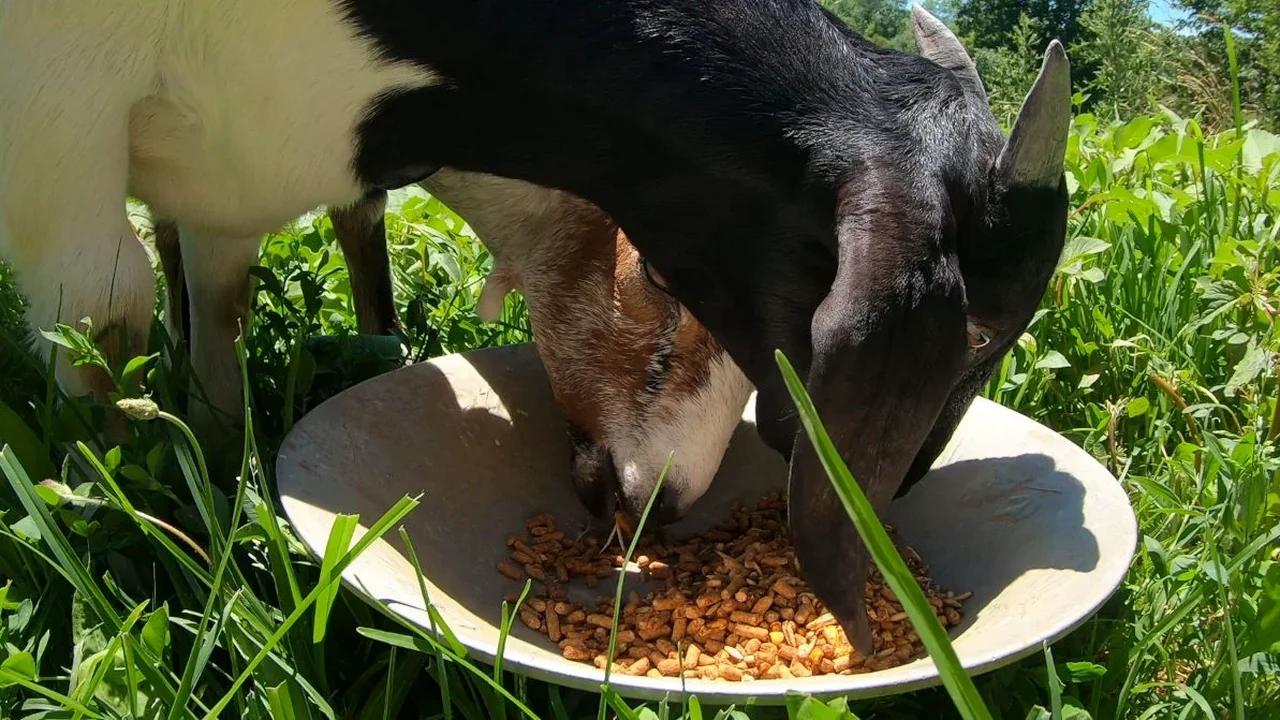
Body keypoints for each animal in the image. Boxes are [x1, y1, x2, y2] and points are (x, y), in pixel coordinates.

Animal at [0, 1, 1071, 648]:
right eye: (972, 342)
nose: (656, 507)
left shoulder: (236, 162)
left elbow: (224, 292)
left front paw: (213, 454)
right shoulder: (57, 101)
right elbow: (106, 308)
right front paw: (120, 526)